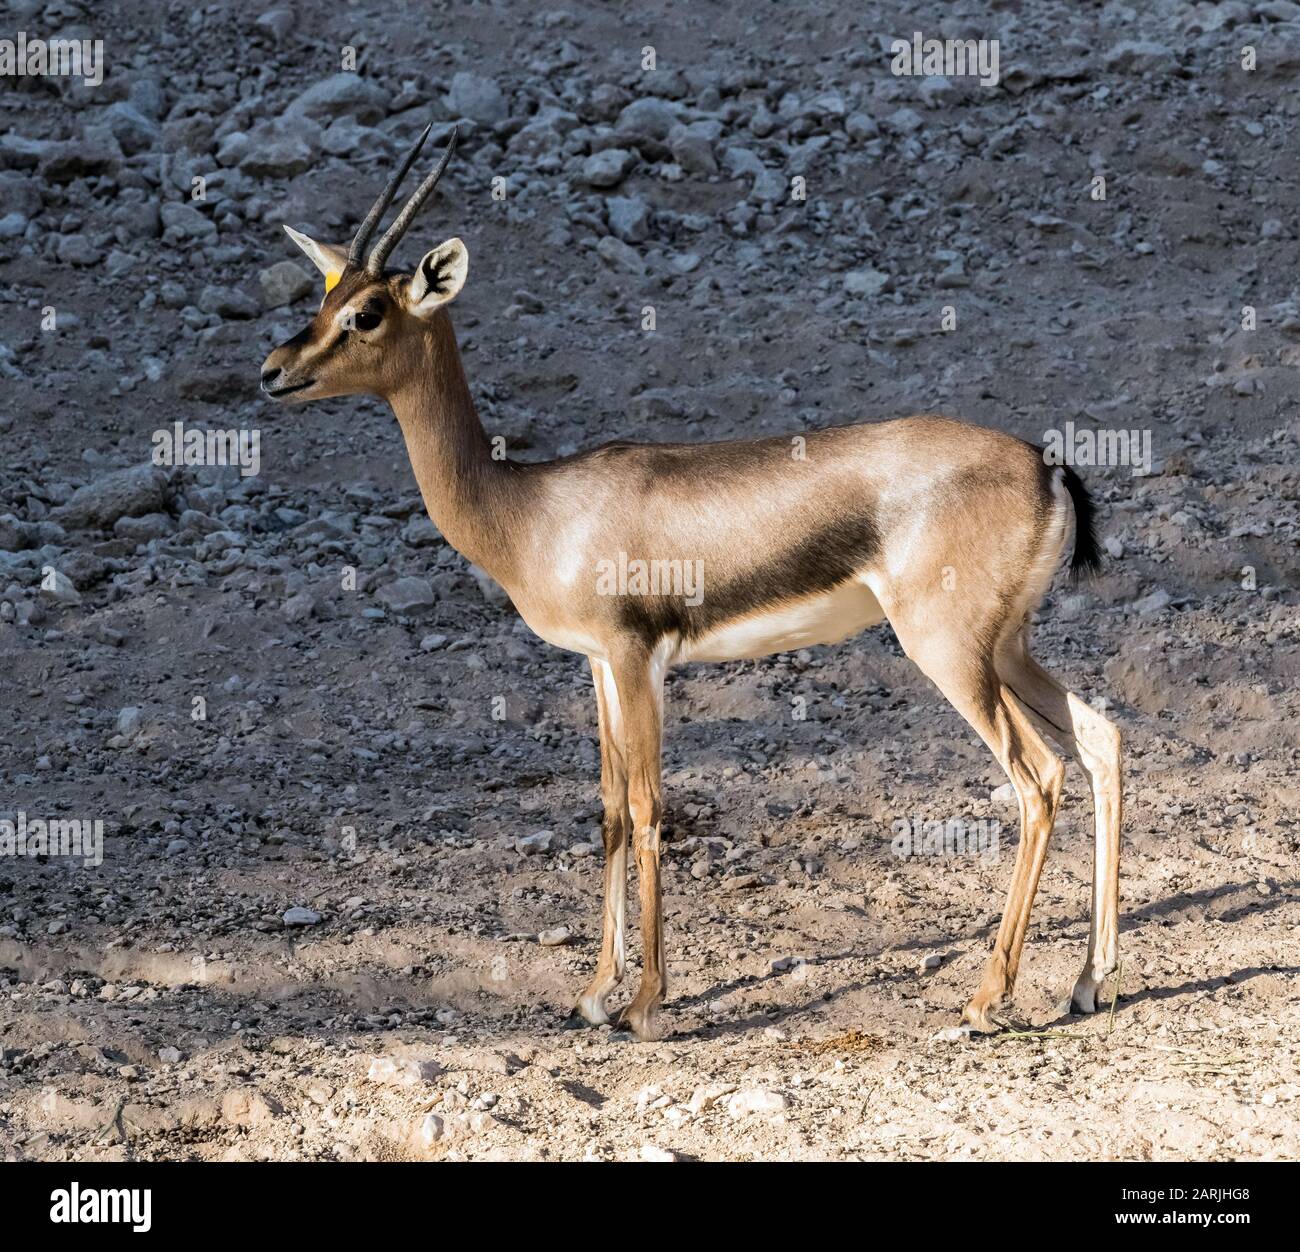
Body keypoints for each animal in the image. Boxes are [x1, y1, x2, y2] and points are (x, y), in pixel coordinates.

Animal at [260, 125, 1122, 1042]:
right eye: (323, 293)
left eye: (367, 312)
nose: (273, 370)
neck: (531, 507)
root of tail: (1045, 465)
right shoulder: (597, 665)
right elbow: (607, 808)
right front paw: (596, 991)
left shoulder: (637, 659)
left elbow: (647, 807)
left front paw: (645, 1004)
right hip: (1008, 650)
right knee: (1101, 740)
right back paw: (1089, 981)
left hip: (950, 653)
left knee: (1038, 778)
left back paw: (989, 995)